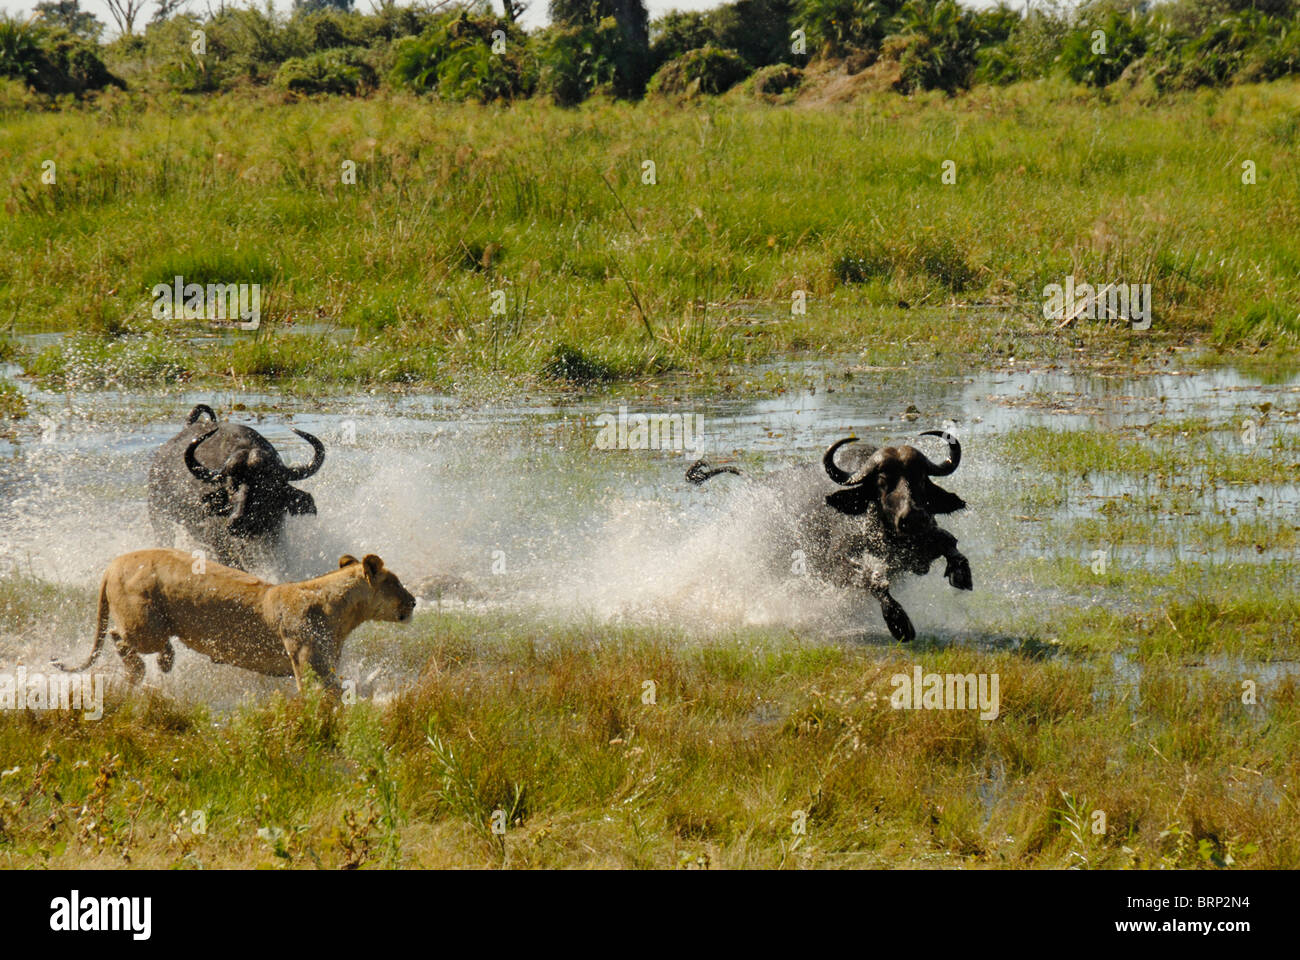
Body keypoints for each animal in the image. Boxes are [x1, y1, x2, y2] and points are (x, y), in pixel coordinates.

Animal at [56, 549, 416, 695]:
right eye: (397, 583)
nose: (414, 602)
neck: (342, 610)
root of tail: (112, 564)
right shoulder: (308, 661)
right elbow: (326, 694)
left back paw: (163, 663)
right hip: (146, 624)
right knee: (118, 636)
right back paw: (145, 667)